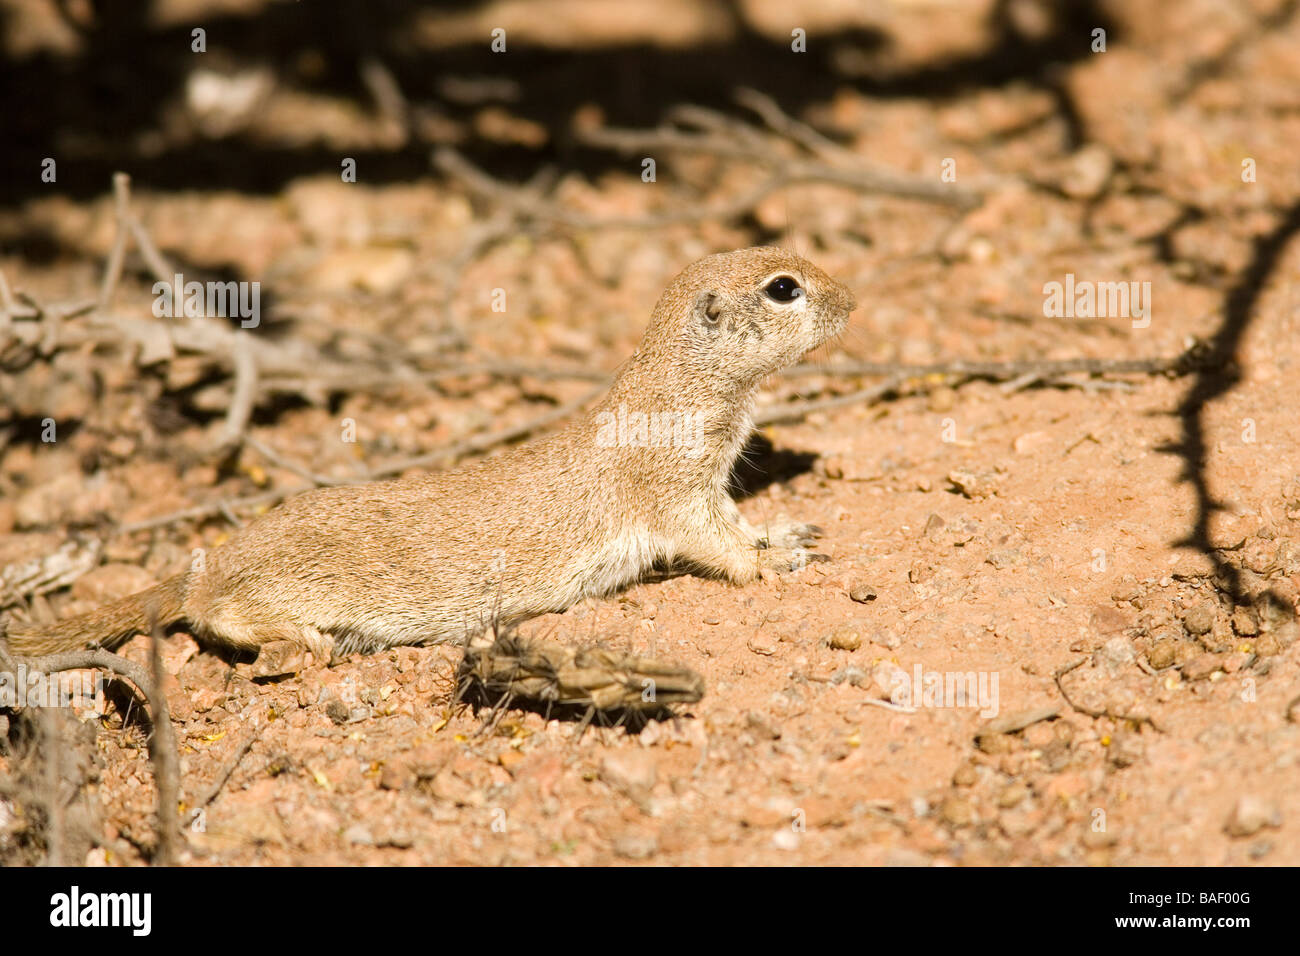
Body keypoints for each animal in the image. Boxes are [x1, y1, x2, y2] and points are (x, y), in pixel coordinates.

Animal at [4, 247, 855, 660]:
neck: (681, 386)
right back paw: (297, 638)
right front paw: (771, 562)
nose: (853, 299)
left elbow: (734, 521)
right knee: (216, 617)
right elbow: (711, 541)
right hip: (266, 595)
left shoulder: (708, 482)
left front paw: (782, 532)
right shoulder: (673, 487)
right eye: (784, 287)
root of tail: (207, 559)